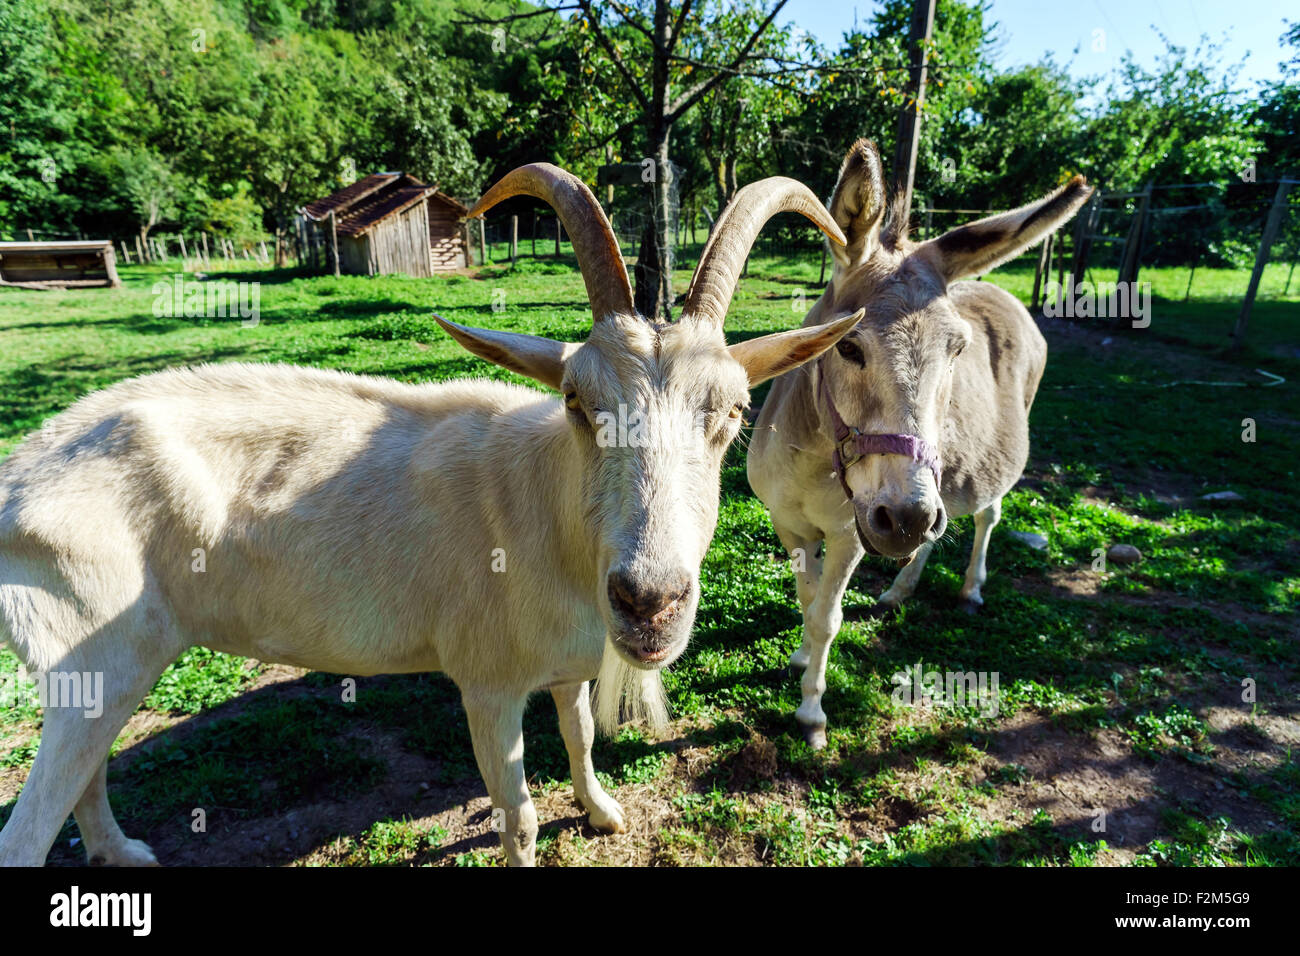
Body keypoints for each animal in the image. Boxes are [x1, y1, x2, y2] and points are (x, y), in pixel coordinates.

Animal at [0, 163, 861, 865]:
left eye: (735, 410)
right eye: (576, 401)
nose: (649, 602)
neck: (547, 513)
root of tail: (18, 476)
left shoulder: (565, 664)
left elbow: (580, 738)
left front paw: (603, 811)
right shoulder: (486, 683)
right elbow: (518, 815)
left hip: (107, 669)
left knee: (90, 770)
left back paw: (122, 852)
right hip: (89, 647)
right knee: (32, 823)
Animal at [747, 140, 1092, 747]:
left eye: (957, 350)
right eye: (848, 347)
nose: (905, 518)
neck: (815, 460)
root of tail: (998, 288)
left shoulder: (851, 534)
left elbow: (828, 616)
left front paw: (811, 711)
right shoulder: (788, 522)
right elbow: (807, 600)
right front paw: (799, 657)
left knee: (985, 516)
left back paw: (970, 589)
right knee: (939, 529)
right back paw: (900, 589)